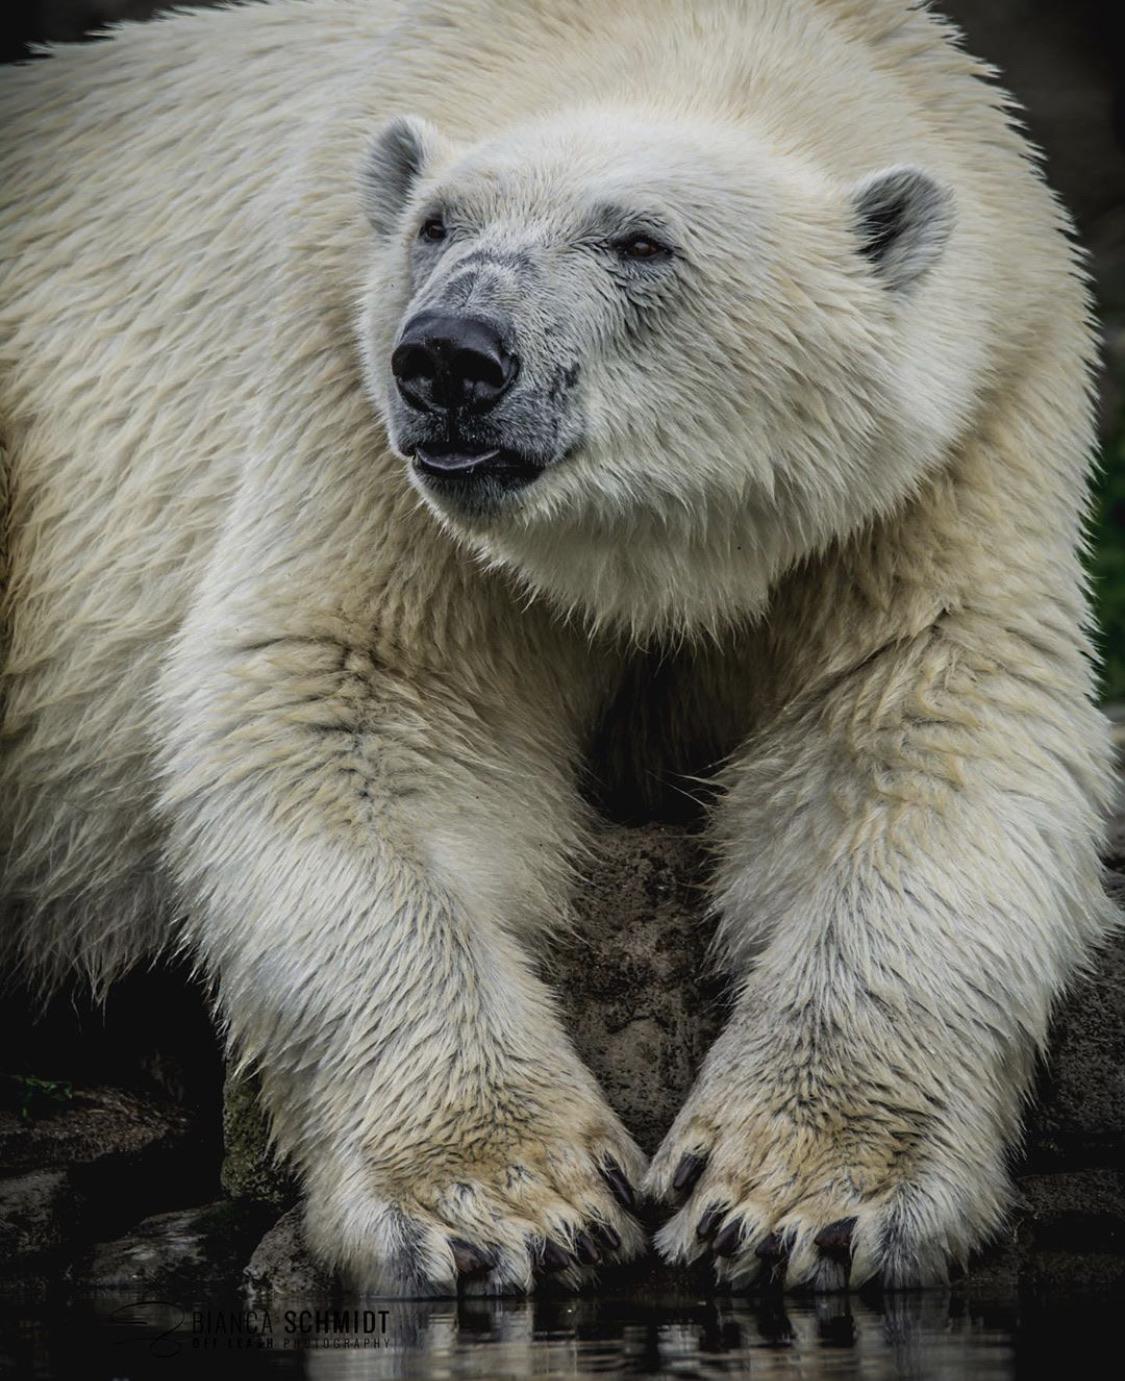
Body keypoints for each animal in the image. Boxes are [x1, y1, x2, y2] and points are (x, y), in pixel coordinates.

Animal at [0, 0, 1118, 1295]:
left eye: (639, 241)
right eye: (437, 224)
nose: (449, 356)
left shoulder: (956, 435)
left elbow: (928, 723)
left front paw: (789, 1202)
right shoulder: (350, 393)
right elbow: (359, 700)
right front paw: (514, 1203)